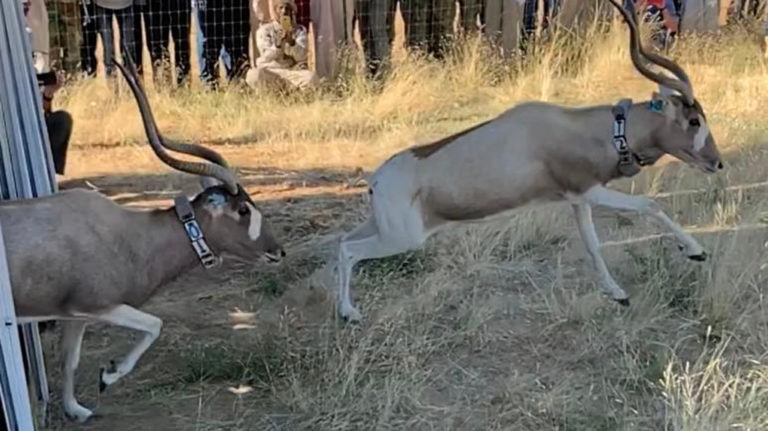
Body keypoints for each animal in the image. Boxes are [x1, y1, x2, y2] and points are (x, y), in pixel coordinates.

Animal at [0, 53, 284, 423]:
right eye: (243, 210)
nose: (277, 251)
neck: (133, 234)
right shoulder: (100, 305)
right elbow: (155, 324)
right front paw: (108, 375)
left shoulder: (75, 316)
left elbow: (69, 359)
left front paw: (76, 410)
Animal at [334, 0, 723, 323]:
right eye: (693, 121)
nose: (716, 163)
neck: (591, 128)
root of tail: (377, 180)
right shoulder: (590, 190)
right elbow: (648, 204)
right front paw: (696, 251)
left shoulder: (578, 199)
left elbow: (593, 245)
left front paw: (617, 294)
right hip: (402, 238)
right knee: (349, 250)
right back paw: (349, 313)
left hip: (381, 227)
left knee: (340, 244)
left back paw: (345, 310)